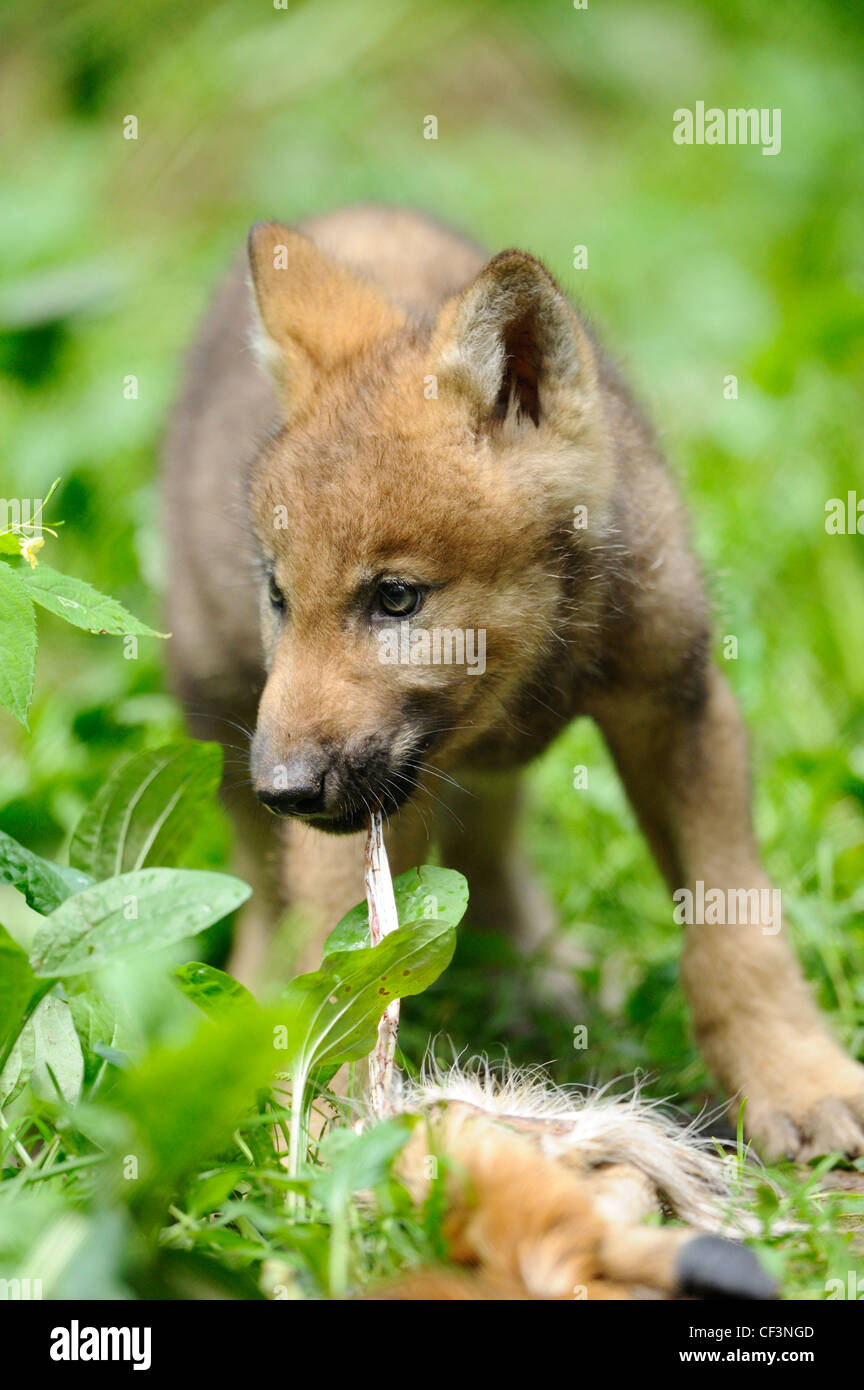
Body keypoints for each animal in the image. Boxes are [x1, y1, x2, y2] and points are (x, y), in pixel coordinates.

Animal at [162, 204, 864, 1161]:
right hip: (219, 709)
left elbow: (735, 929)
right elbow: (341, 979)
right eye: (279, 595)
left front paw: (798, 1080)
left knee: (487, 856)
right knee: (266, 902)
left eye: (395, 597)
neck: (533, 676)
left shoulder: (680, 701)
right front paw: (331, 1141)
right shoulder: (347, 822)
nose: (286, 789)